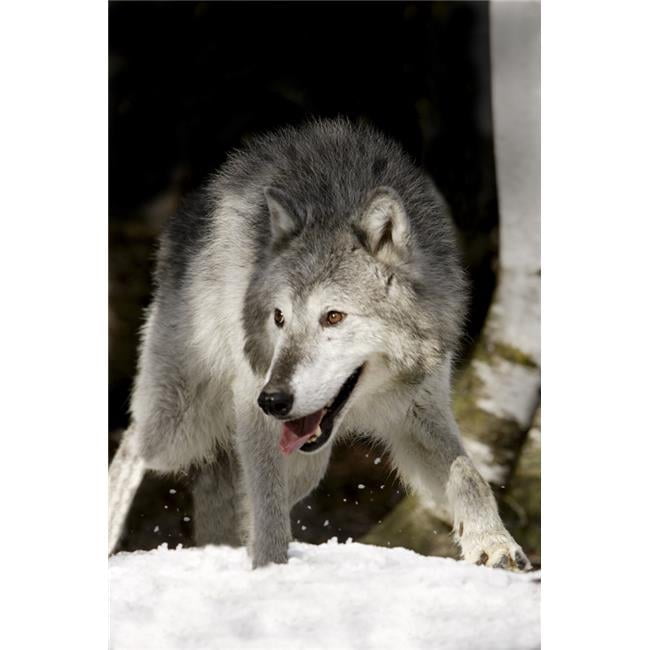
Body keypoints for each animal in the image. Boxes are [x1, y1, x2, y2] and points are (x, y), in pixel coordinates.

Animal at [120, 118, 530, 571]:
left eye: (333, 316)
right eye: (279, 317)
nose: (274, 400)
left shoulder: (421, 408)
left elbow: (469, 475)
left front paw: (493, 543)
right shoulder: (251, 403)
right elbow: (267, 506)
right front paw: (270, 568)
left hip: (307, 462)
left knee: (229, 493)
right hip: (177, 428)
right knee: (132, 445)